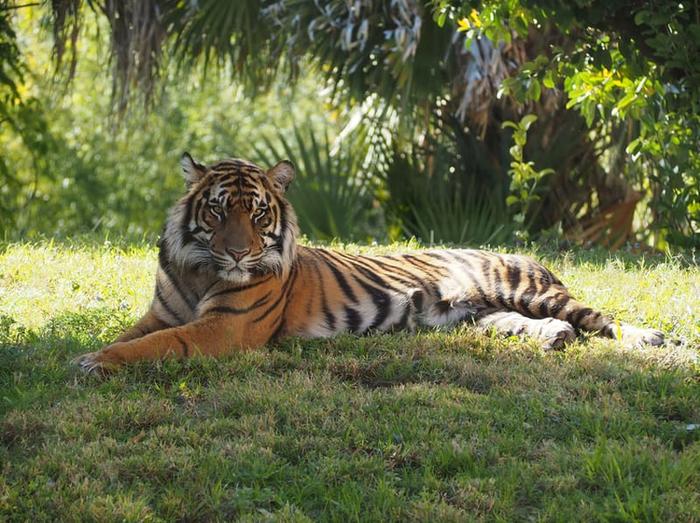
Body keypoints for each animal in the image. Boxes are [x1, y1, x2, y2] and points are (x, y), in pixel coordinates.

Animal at [74, 154, 664, 374]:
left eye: (258, 212)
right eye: (218, 211)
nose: (239, 251)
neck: (200, 269)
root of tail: (517, 250)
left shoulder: (226, 328)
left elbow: (157, 345)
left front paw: (94, 362)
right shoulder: (164, 311)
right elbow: (136, 334)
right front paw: (89, 352)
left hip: (528, 289)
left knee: (600, 319)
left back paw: (654, 339)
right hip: (480, 315)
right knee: (546, 326)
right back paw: (554, 339)